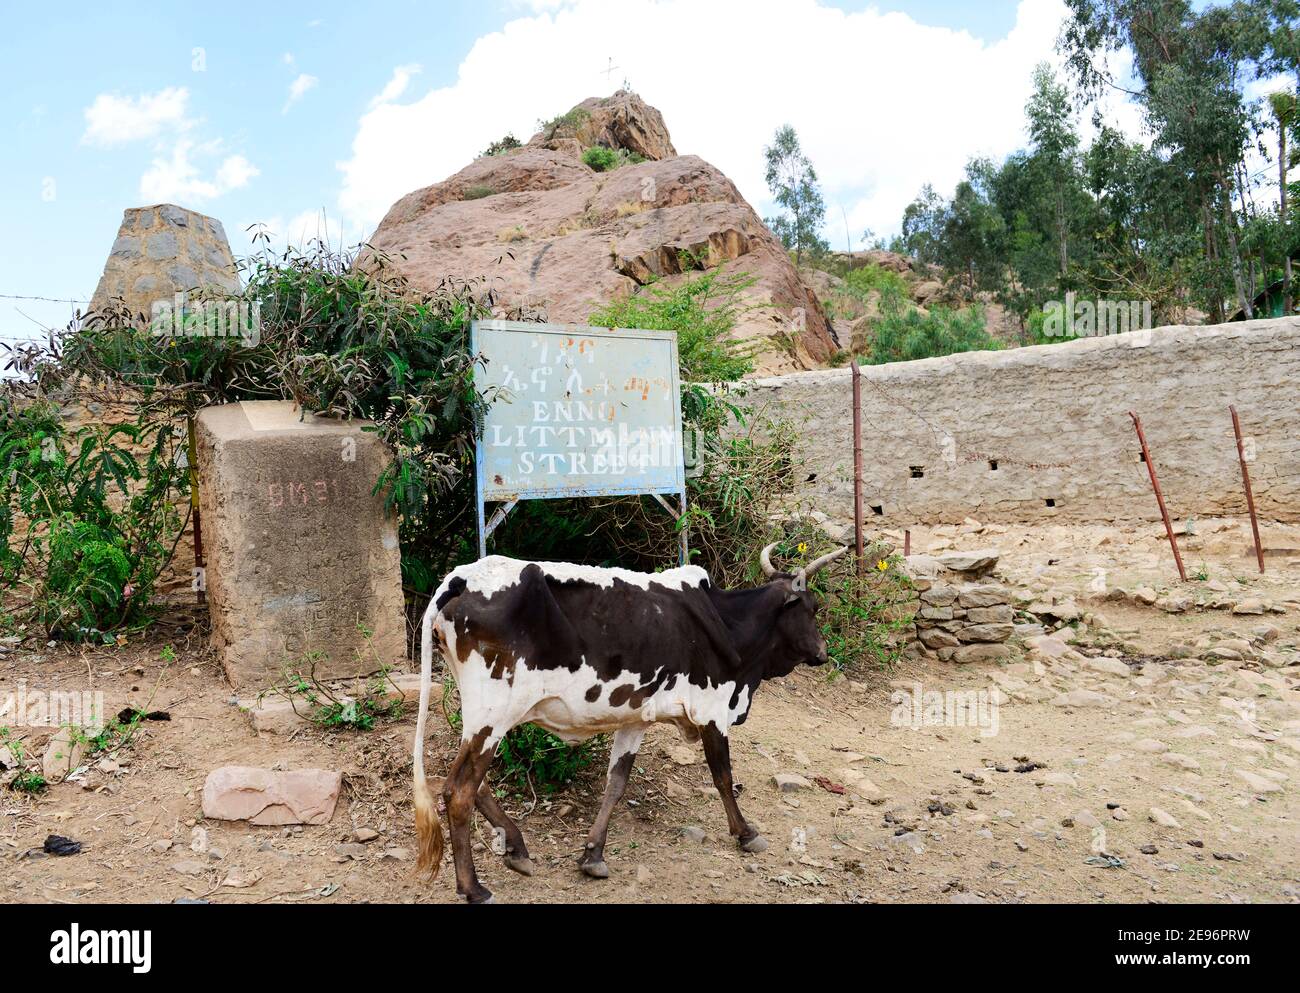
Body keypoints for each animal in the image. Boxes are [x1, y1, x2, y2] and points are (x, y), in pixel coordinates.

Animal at [411, 542, 847, 903]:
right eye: (812, 609)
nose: (823, 652)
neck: (730, 625)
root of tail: (462, 577)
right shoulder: (711, 712)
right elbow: (723, 776)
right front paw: (745, 833)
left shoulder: (636, 718)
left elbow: (616, 784)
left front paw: (593, 855)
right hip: (493, 715)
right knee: (459, 790)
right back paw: (472, 887)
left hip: (482, 718)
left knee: (470, 783)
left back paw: (517, 847)